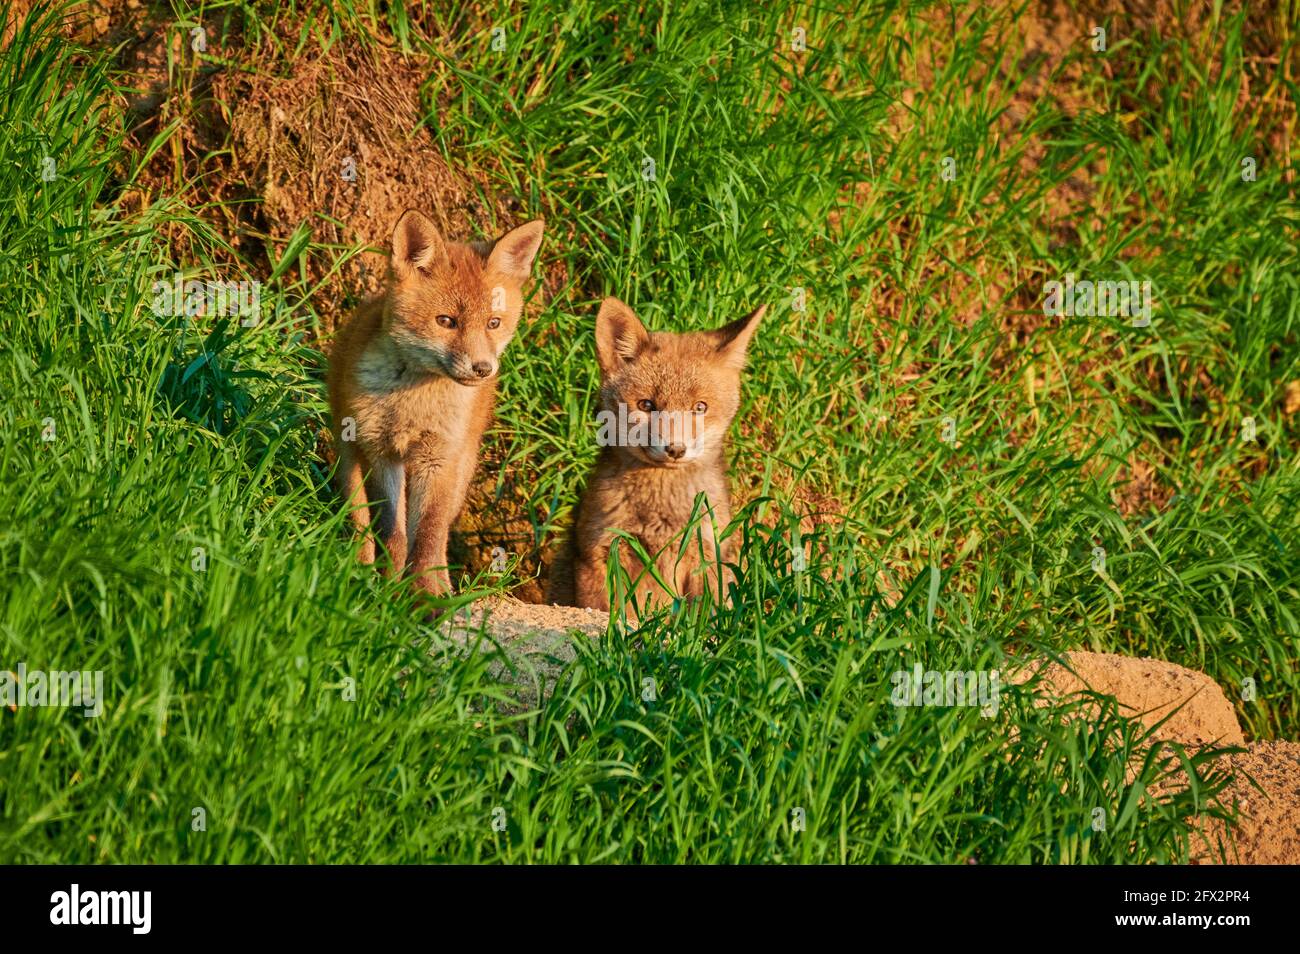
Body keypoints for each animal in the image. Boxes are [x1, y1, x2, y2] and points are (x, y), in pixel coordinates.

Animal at [326, 209, 544, 595]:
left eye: (493, 323)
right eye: (446, 321)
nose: (482, 368)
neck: (414, 404)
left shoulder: (440, 458)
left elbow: (428, 533)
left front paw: (428, 594)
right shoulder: (380, 450)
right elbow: (393, 532)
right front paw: (390, 584)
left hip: (461, 467)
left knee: (440, 532)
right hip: (349, 456)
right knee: (359, 523)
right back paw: (360, 572)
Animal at [568, 296, 766, 613]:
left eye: (700, 407)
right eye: (646, 405)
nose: (675, 449)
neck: (662, 515)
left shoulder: (706, 554)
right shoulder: (600, 552)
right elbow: (605, 608)